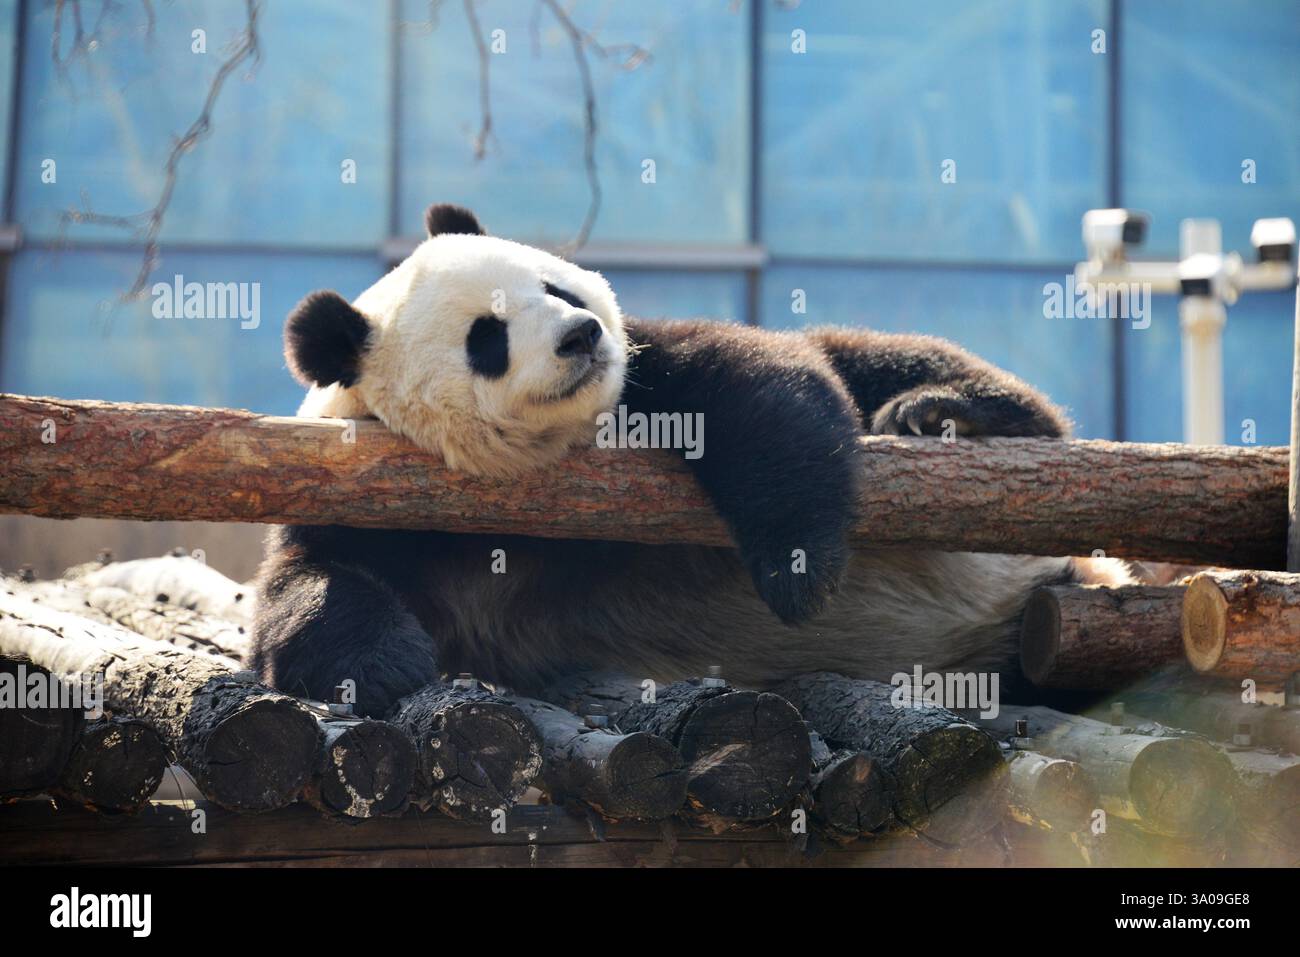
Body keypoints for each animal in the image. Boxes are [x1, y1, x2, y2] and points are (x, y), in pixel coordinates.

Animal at [252, 202, 1131, 717]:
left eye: (556, 288)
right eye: (487, 336)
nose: (581, 336)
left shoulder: (644, 371)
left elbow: (757, 380)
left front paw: (798, 571)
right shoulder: (366, 495)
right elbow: (299, 601)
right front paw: (390, 665)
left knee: (892, 360)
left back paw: (944, 414)